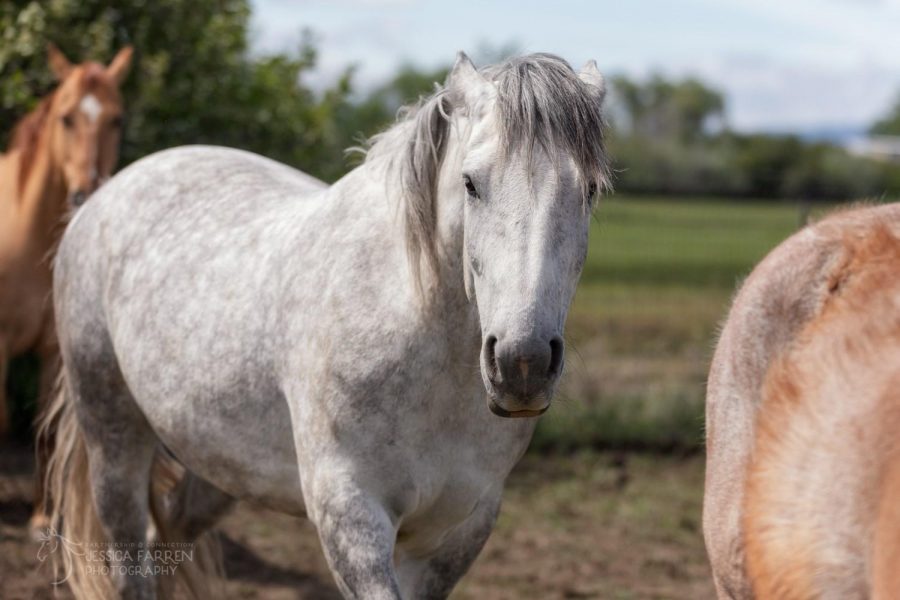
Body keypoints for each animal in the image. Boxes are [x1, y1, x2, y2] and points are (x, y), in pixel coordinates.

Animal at [0, 43, 132, 526]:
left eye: (116, 119)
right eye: (66, 117)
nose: (84, 193)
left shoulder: (54, 349)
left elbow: (48, 430)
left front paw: (41, 516)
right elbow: (3, 417)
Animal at [43, 52, 610, 598]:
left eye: (590, 191)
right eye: (471, 184)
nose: (522, 364)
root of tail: (102, 197)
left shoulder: (455, 532)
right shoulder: (350, 514)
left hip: (220, 468)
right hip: (113, 436)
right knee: (130, 563)